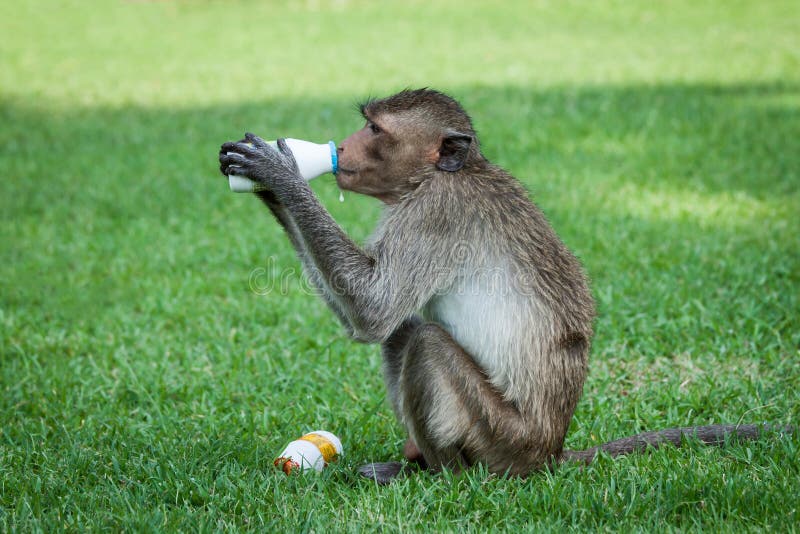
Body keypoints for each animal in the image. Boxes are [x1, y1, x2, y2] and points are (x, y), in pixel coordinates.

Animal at [219, 89, 790, 484]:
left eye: (375, 129)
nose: (342, 146)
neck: (442, 175)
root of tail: (549, 452)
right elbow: (378, 318)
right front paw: (269, 184)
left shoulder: (435, 213)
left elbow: (373, 310)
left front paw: (282, 173)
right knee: (408, 333)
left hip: (501, 439)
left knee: (423, 341)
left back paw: (441, 475)